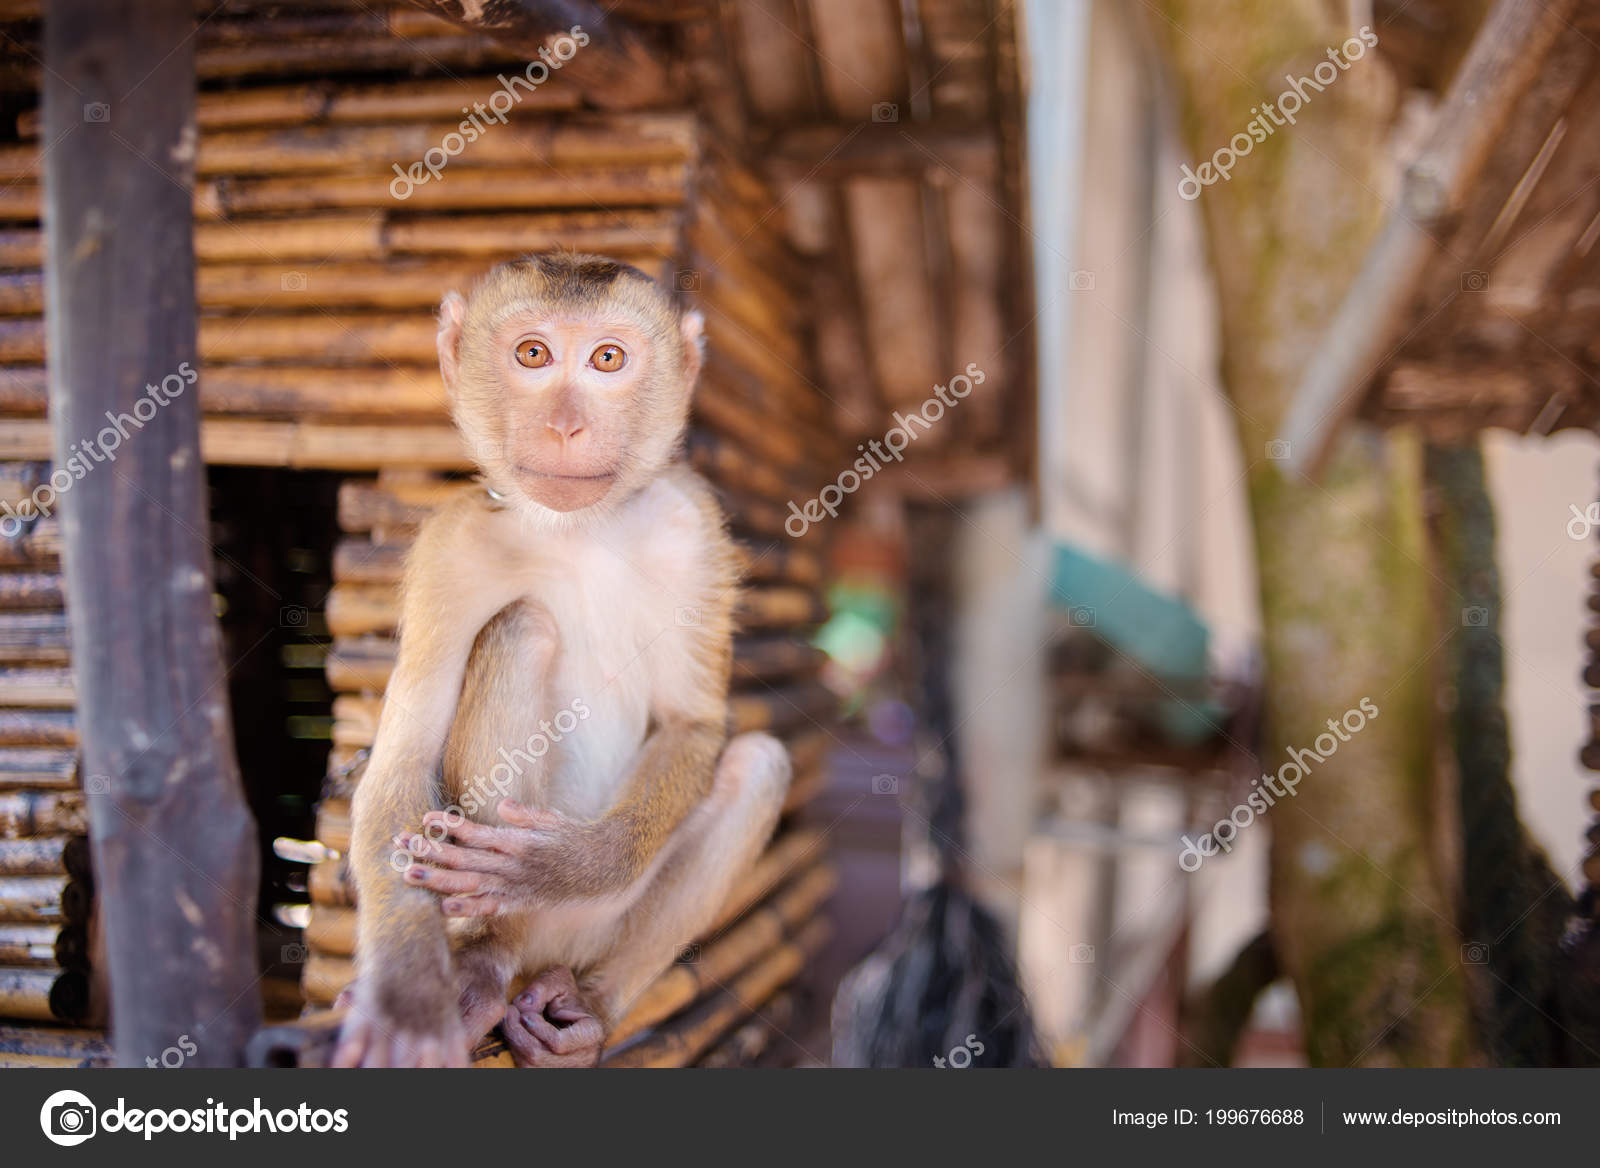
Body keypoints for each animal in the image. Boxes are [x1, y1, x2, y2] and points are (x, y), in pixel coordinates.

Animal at [331, 254, 792, 1068]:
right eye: (533, 354)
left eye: (607, 359)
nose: (566, 426)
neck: (575, 528)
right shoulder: (451, 549)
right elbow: (401, 765)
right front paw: (407, 1001)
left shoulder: (693, 526)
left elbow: (694, 723)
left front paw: (565, 866)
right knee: (523, 629)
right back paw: (485, 962)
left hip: (589, 928)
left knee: (758, 766)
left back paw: (588, 1005)